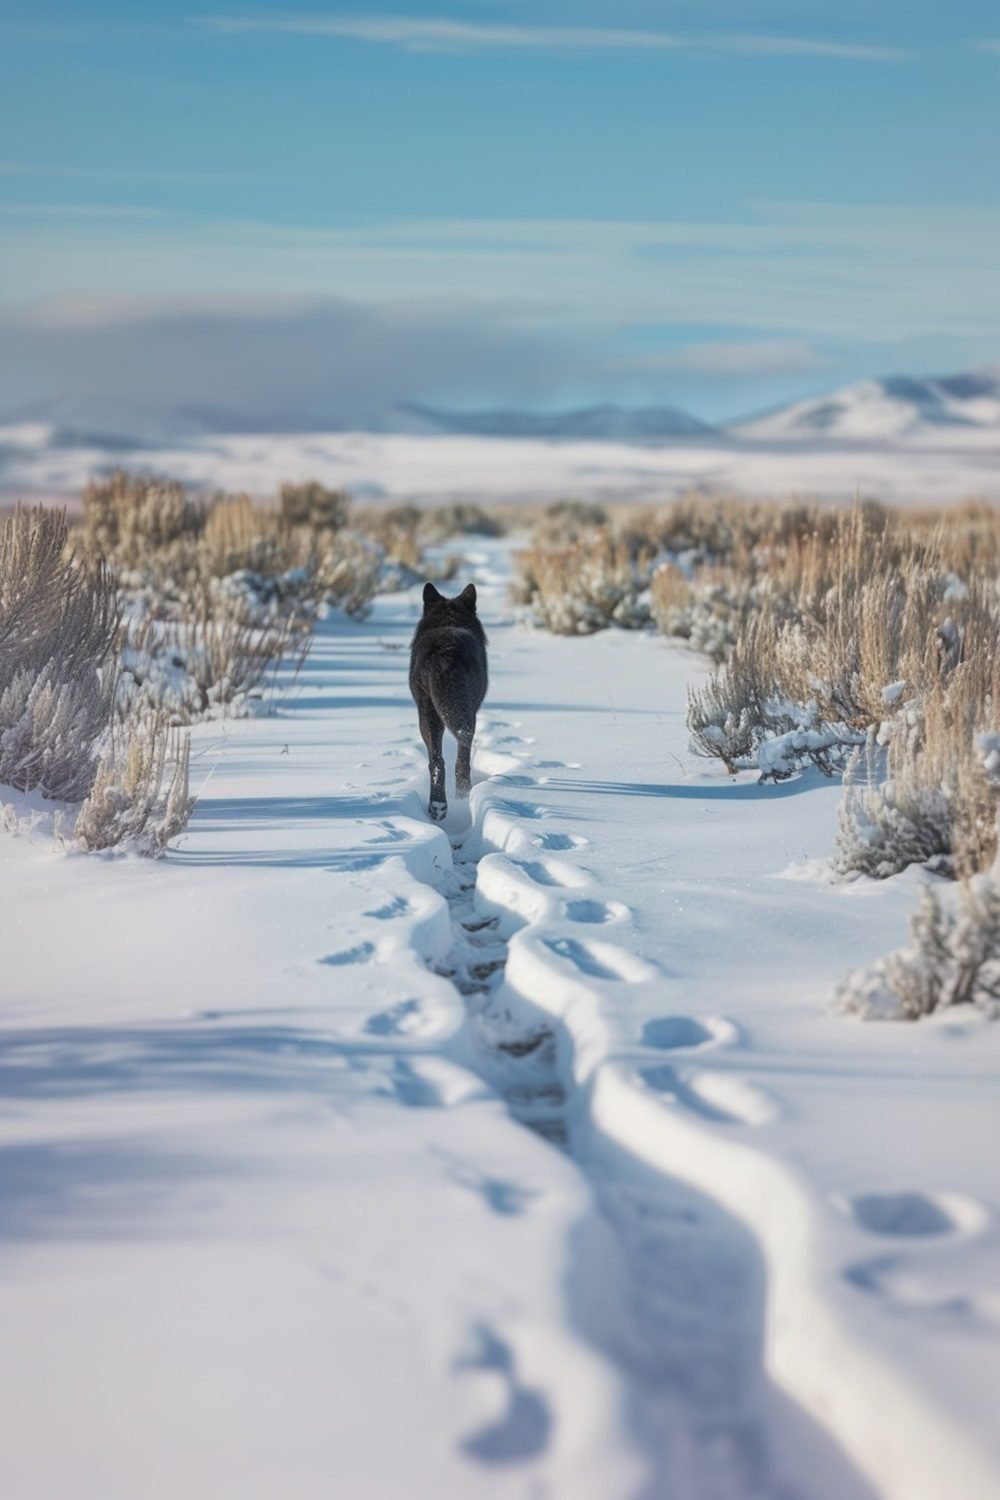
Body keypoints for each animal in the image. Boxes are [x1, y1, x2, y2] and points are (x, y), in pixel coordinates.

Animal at [409, 582, 488, 821]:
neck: (448, 619)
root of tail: (445, 651)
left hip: (429, 714)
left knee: (438, 761)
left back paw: (439, 806)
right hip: (462, 714)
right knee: (459, 758)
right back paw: (460, 796)